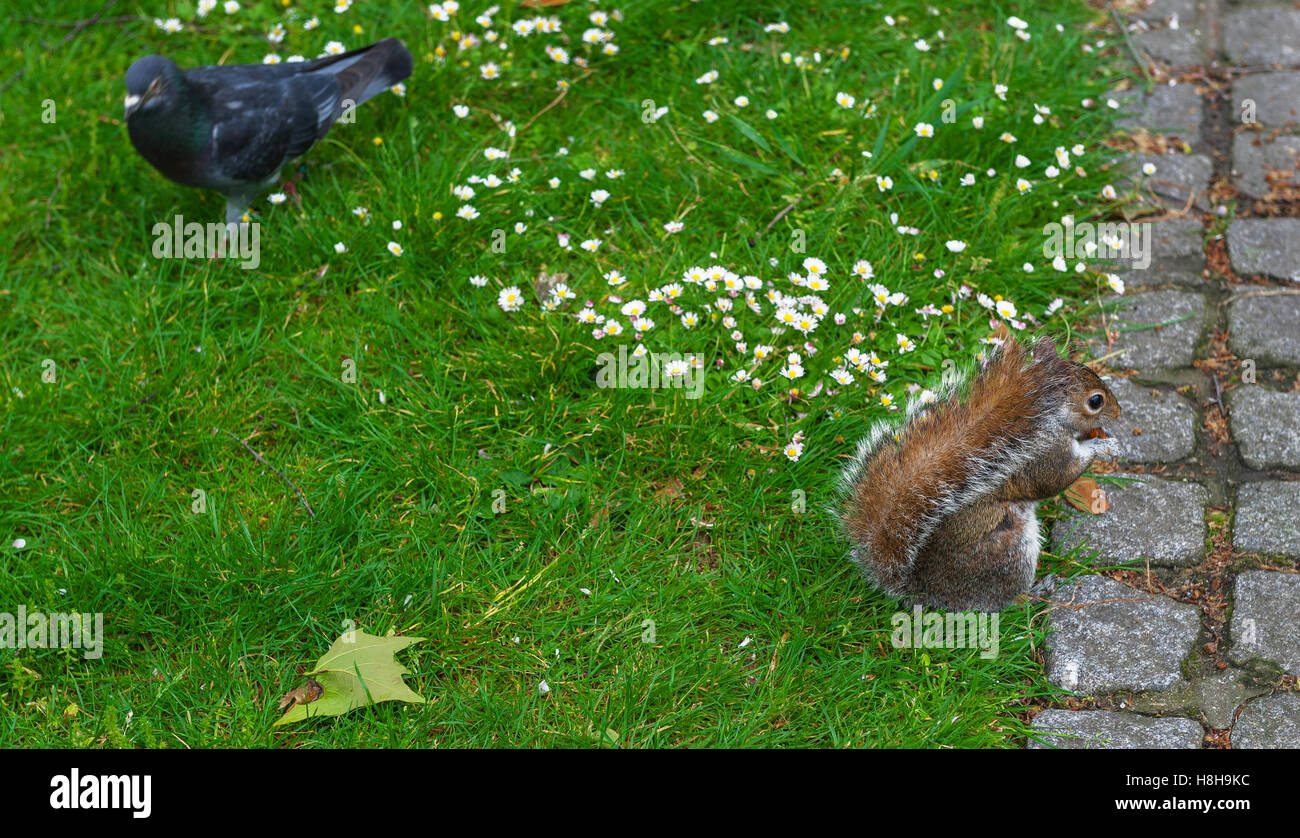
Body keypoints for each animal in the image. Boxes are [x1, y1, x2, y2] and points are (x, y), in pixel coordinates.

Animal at [837, 330, 1121, 613]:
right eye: (1096, 400)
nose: (1119, 412)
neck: (1049, 417)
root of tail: (926, 592)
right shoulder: (1045, 453)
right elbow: (1055, 478)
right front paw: (1102, 447)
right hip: (1009, 552)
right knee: (1007, 603)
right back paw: (1038, 591)